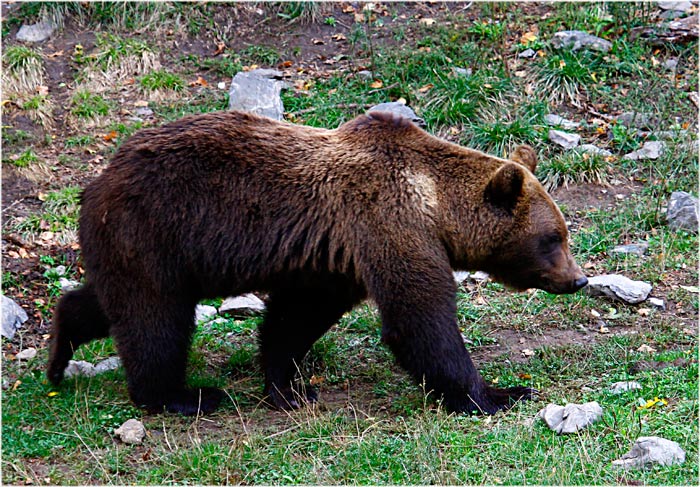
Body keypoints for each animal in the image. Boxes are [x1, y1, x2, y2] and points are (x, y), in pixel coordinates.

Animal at [47, 110, 588, 416]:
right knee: (154, 318)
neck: (435, 205)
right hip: (154, 232)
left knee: (110, 301)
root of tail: (97, 181)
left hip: (143, 247)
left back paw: (60, 352)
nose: (578, 279)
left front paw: (288, 387)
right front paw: (496, 393)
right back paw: (183, 396)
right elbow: (420, 320)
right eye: (553, 238)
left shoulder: (335, 257)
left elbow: (296, 317)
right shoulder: (388, 225)